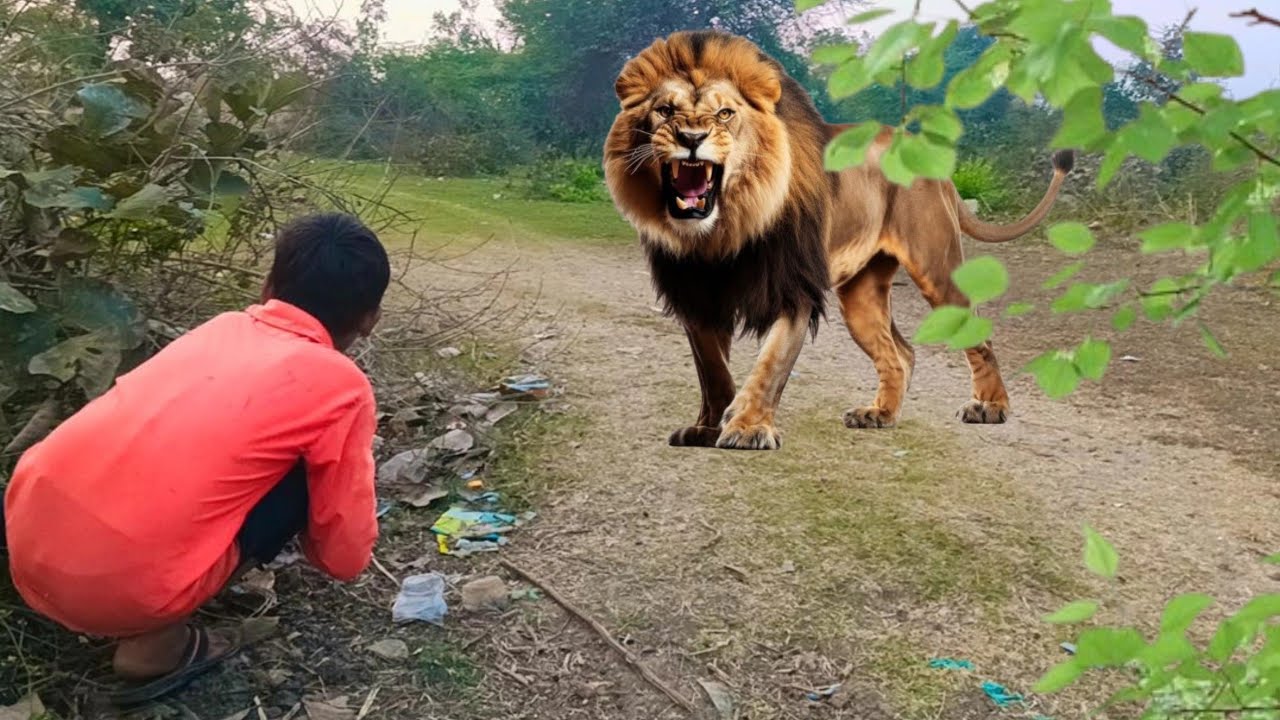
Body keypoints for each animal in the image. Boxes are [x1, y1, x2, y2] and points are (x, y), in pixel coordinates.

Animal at [603, 30, 1073, 450]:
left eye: (725, 115)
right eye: (665, 111)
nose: (691, 139)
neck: (725, 228)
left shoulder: (795, 290)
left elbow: (771, 364)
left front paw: (749, 429)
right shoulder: (694, 294)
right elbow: (713, 369)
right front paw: (706, 428)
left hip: (937, 270)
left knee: (979, 336)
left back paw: (990, 407)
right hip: (862, 295)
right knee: (901, 354)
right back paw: (879, 414)